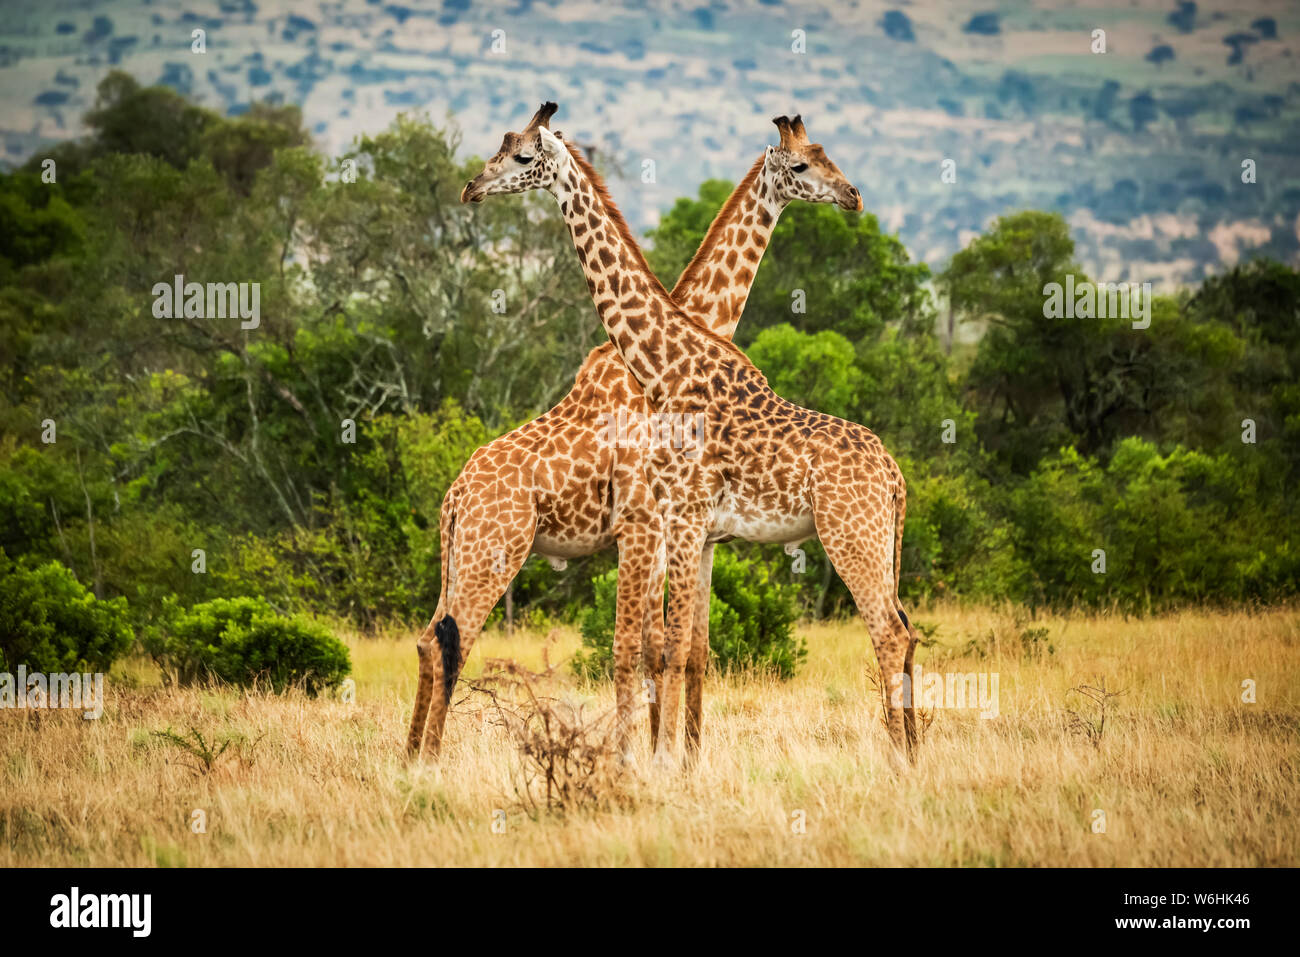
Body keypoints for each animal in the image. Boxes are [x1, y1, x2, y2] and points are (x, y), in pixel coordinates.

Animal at [458, 104, 922, 764]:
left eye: (522, 155)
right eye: (806, 164)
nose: (472, 186)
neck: (668, 361)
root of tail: (895, 476)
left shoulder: (676, 520)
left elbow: (665, 649)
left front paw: (658, 761)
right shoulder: (687, 529)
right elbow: (677, 649)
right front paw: (674, 760)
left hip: (852, 536)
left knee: (890, 632)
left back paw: (901, 756)